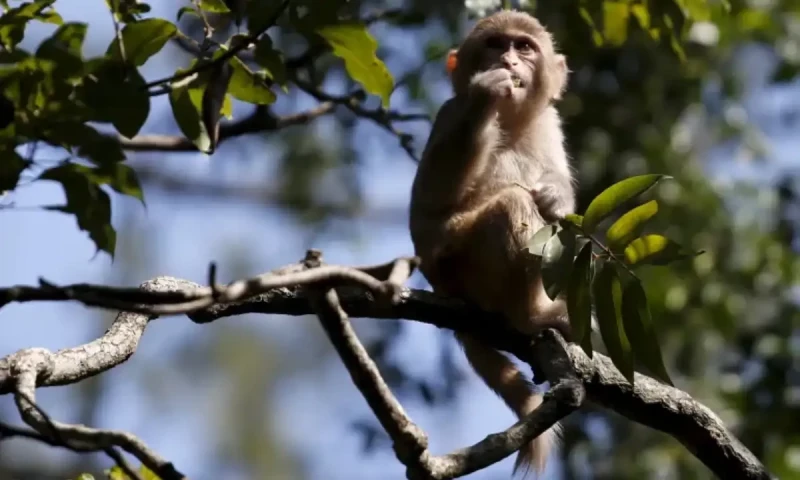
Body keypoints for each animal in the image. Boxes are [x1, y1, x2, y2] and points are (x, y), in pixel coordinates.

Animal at [408, 10, 574, 478]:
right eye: (496, 45)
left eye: (525, 47)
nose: (510, 62)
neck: (514, 123)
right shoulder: (450, 114)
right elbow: (429, 210)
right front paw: (487, 93)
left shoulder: (550, 123)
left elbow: (562, 199)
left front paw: (556, 196)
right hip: (463, 269)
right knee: (511, 205)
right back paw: (532, 316)